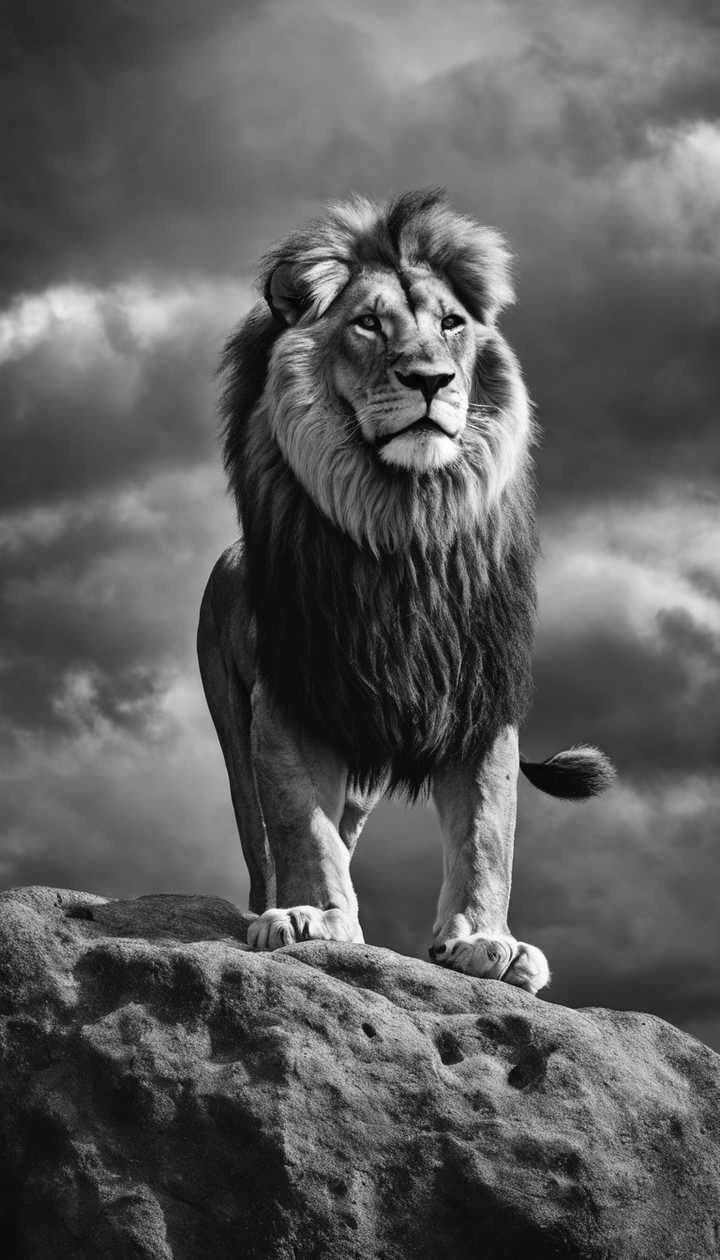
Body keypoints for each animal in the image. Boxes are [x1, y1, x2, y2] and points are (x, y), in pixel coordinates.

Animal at [197, 189, 614, 995]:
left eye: (451, 324)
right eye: (368, 323)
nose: (431, 380)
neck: (404, 524)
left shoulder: (479, 693)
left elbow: (487, 832)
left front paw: (486, 941)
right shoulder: (292, 692)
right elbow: (299, 824)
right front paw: (312, 918)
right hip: (233, 720)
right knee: (259, 835)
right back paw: (273, 907)